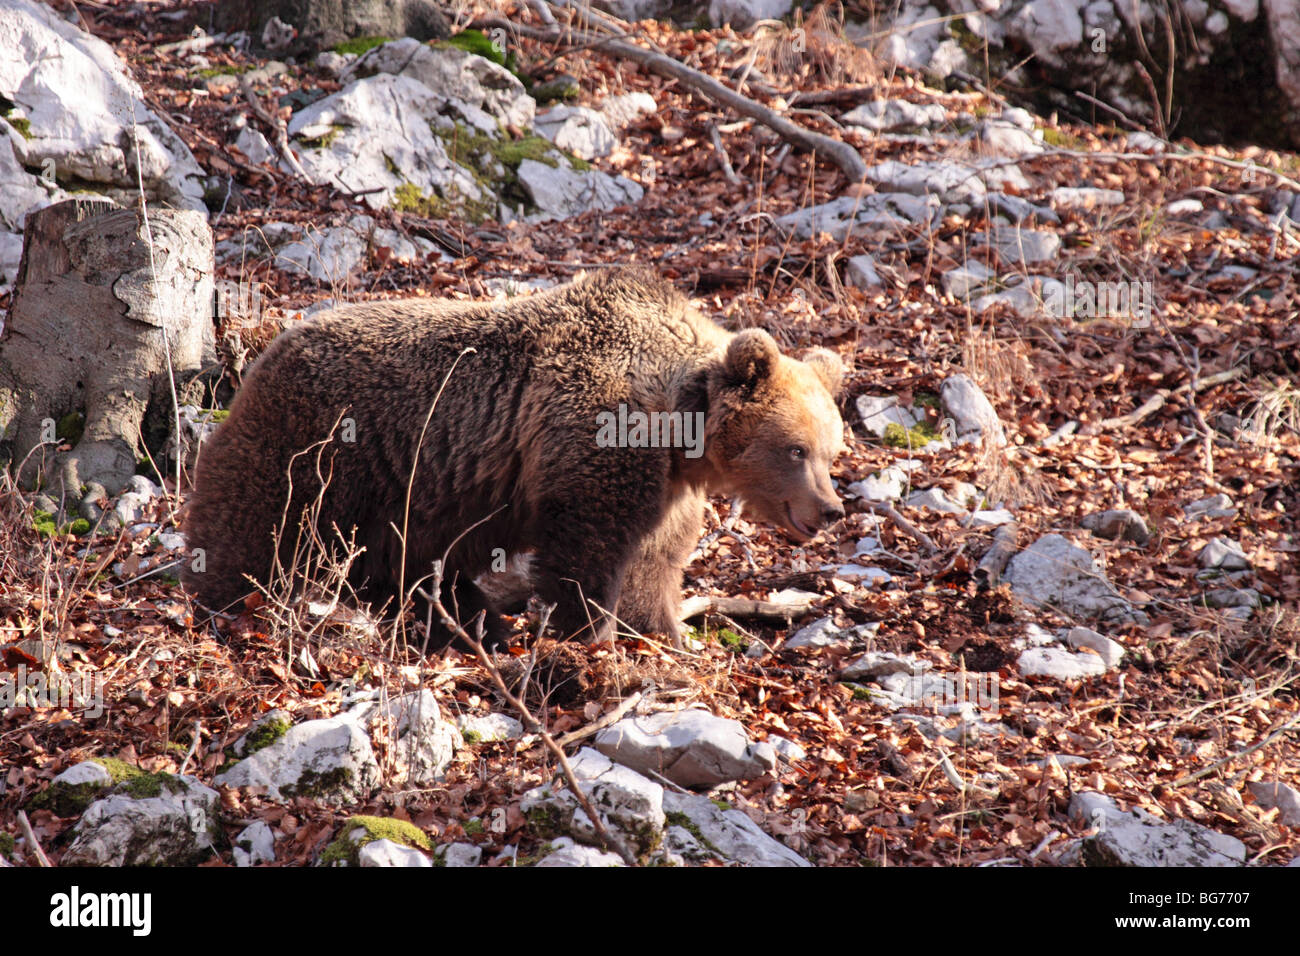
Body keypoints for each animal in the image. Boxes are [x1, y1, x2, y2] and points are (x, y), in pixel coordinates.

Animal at [182, 267, 846, 647]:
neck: (679, 426)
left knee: (404, 566)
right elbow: (587, 548)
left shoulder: (669, 485)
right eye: (796, 449)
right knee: (256, 520)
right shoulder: (596, 435)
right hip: (321, 446)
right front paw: (589, 634)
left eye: (831, 450)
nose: (831, 509)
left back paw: (465, 621)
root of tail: (268, 350)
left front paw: (667, 632)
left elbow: (655, 559)